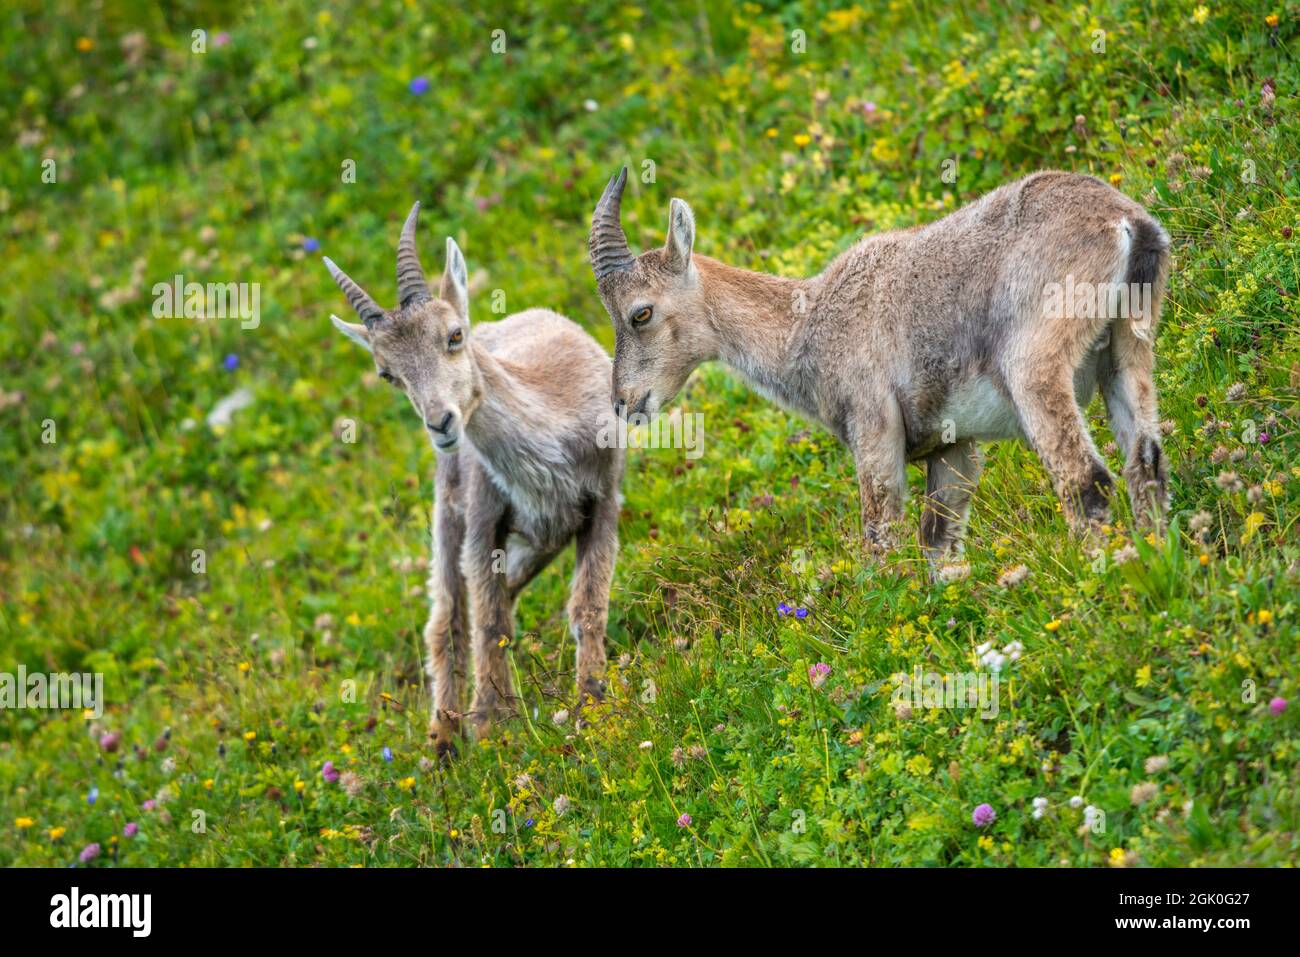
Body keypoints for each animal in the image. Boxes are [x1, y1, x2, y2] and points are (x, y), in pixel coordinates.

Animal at [326, 203, 623, 756]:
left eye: (452, 336)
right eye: (387, 373)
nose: (441, 423)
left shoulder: (602, 505)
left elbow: (587, 608)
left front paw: (594, 705)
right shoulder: (484, 522)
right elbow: (489, 623)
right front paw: (491, 724)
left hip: (543, 536)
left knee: (500, 592)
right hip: (449, 515)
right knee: (447, 619)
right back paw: (443, 738)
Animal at [588, 168, 1170, 576]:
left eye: (640, 313)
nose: (624, 402)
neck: (810, 325)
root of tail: (1127, 224)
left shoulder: (874, 429)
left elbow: (879, 538)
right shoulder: (952, 446)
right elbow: (938, 540)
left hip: (1034, 367)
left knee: (1086, 481)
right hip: (1127, 351)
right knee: (1145, 463)